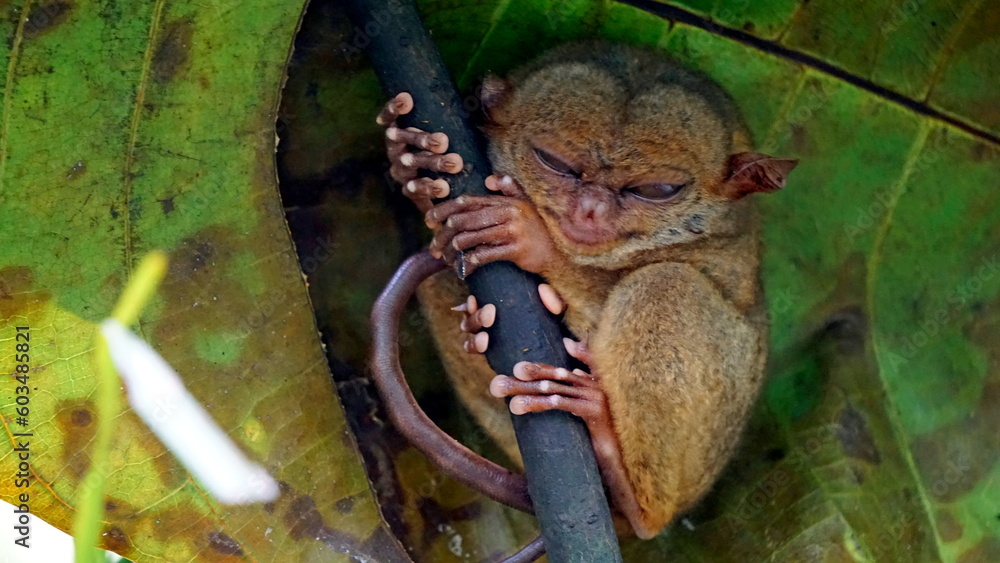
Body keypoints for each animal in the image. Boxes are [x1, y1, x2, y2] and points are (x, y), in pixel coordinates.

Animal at [372, 41, 797, 541]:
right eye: (554, 162)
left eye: (656, 190)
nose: (590, 209)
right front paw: (412, 161)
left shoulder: (722, 253)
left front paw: (532, 239)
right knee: (438, 274)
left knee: (664, 285)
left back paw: (628, 487)